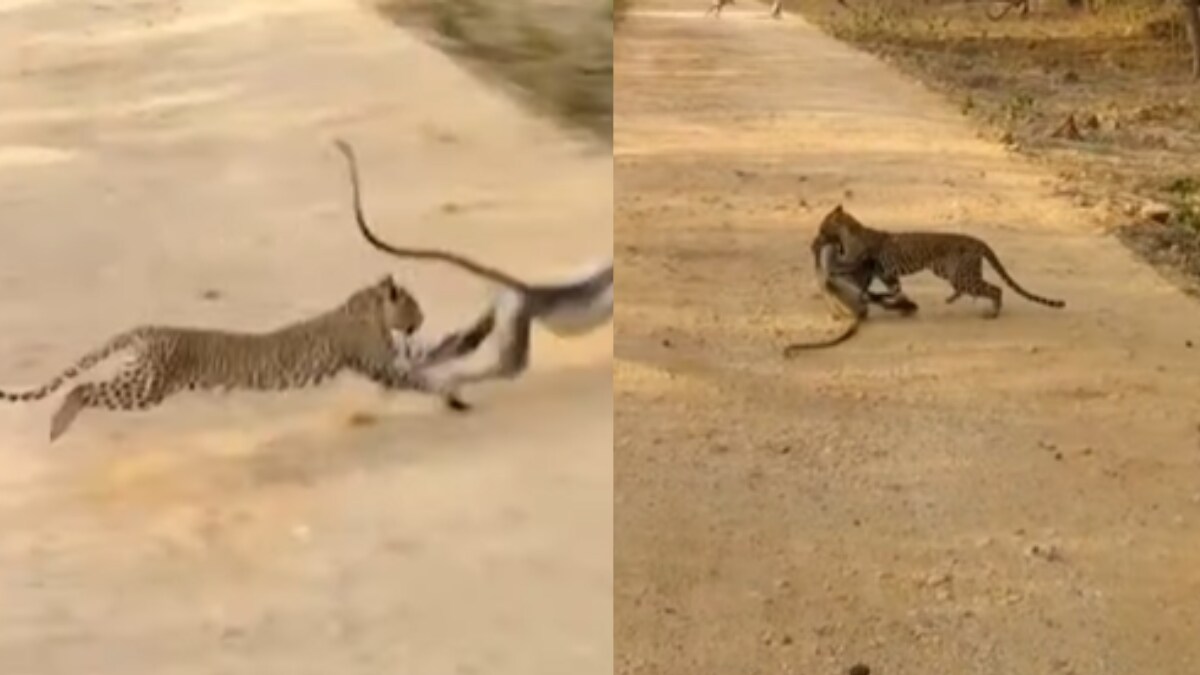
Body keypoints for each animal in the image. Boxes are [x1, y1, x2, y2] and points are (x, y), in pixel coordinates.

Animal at [0, 275, 496, 442]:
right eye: (412, 305)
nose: (420, 316)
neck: (366, 306)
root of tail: (151, 328)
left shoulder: (390, 355)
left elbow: (433, 352)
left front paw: (474, 334)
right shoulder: (378, 363)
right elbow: (424, 375)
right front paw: (454, 395)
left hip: (142, 380)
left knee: (83, 386)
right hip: (148, 386)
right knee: (82, 388)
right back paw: (57, 425)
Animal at [814, 204, 1065, 319]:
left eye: (823, 226)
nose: (817, 234)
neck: (850, 231)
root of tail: (978, 241)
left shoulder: (858, 258)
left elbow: (845, 262)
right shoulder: (887, 273)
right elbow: (896, 289)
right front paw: (903, 305)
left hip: (962, 274)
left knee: (995, 289)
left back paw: (993, 313)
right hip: (949, 271)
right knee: (973, 288)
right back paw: (951, 299)